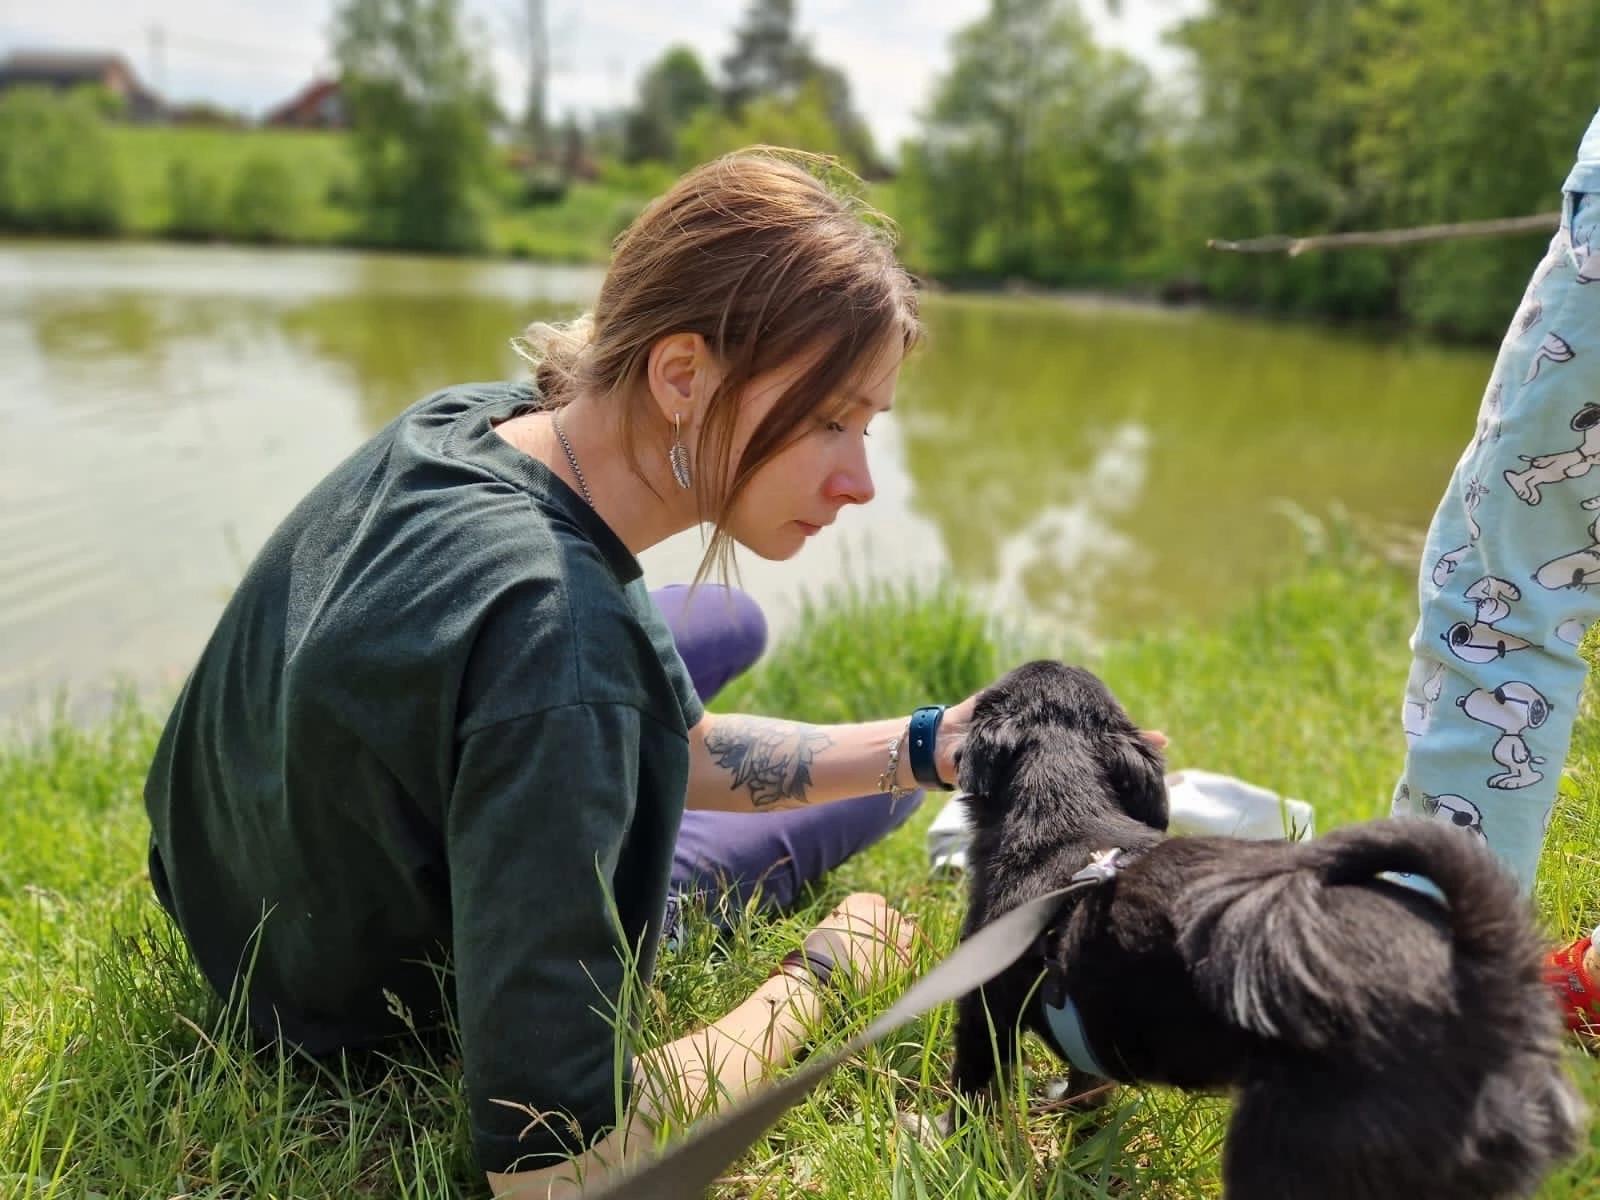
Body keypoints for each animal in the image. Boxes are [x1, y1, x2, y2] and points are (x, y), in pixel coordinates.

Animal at [947, 662, 1587, 1196]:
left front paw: (954, 1151)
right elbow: (1088, 1089)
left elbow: (971, 1099)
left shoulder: (983, 1012)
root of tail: (1489, 978)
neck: (1069, 814)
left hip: (1290, 1145)